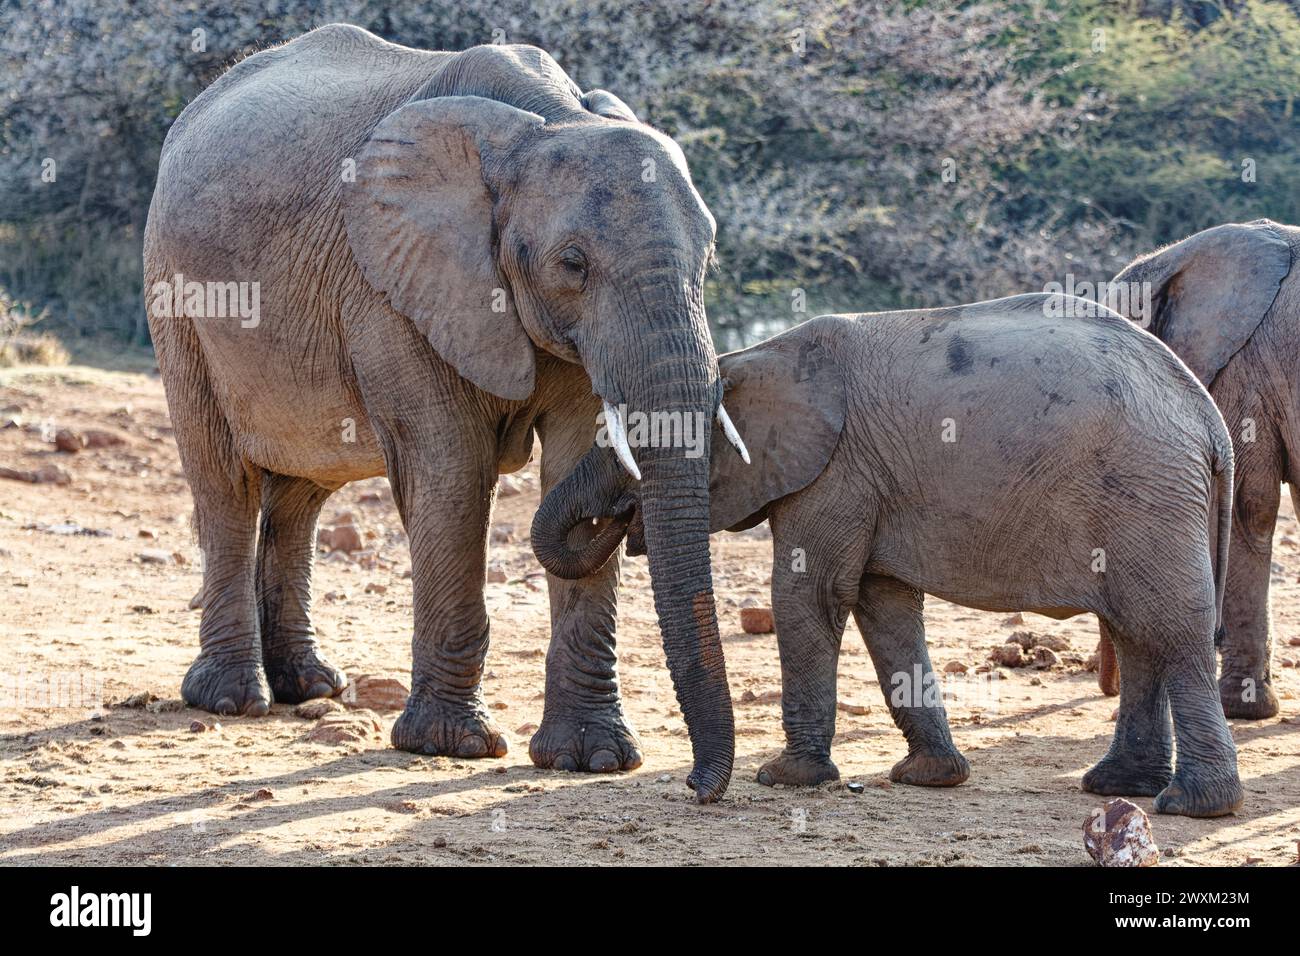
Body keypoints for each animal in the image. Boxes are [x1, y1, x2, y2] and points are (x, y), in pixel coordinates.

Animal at [143, 24, 750, 802]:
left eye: (709, 257)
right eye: (573, 263)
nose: (698, 788)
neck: (543, 123)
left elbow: (571, 452)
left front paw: (594, 760)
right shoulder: (391, 284)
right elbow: (450, 469)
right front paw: (449, 747)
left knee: (302, 493)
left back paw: (309, 687)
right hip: (177, 297)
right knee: (225, 481)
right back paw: (231, 699)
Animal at [533, 292, 1246, 817]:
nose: (692, 789)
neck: (754, 358)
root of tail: (1209, 423)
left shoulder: (836, 471)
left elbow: (809, 596)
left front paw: (784, 778)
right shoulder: (864, 480)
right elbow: (884, 609)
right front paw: (931, 777)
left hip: (1147, 493)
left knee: (1170, 630)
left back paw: (1191, 806)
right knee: (1136, 633)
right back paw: (1116, 787)